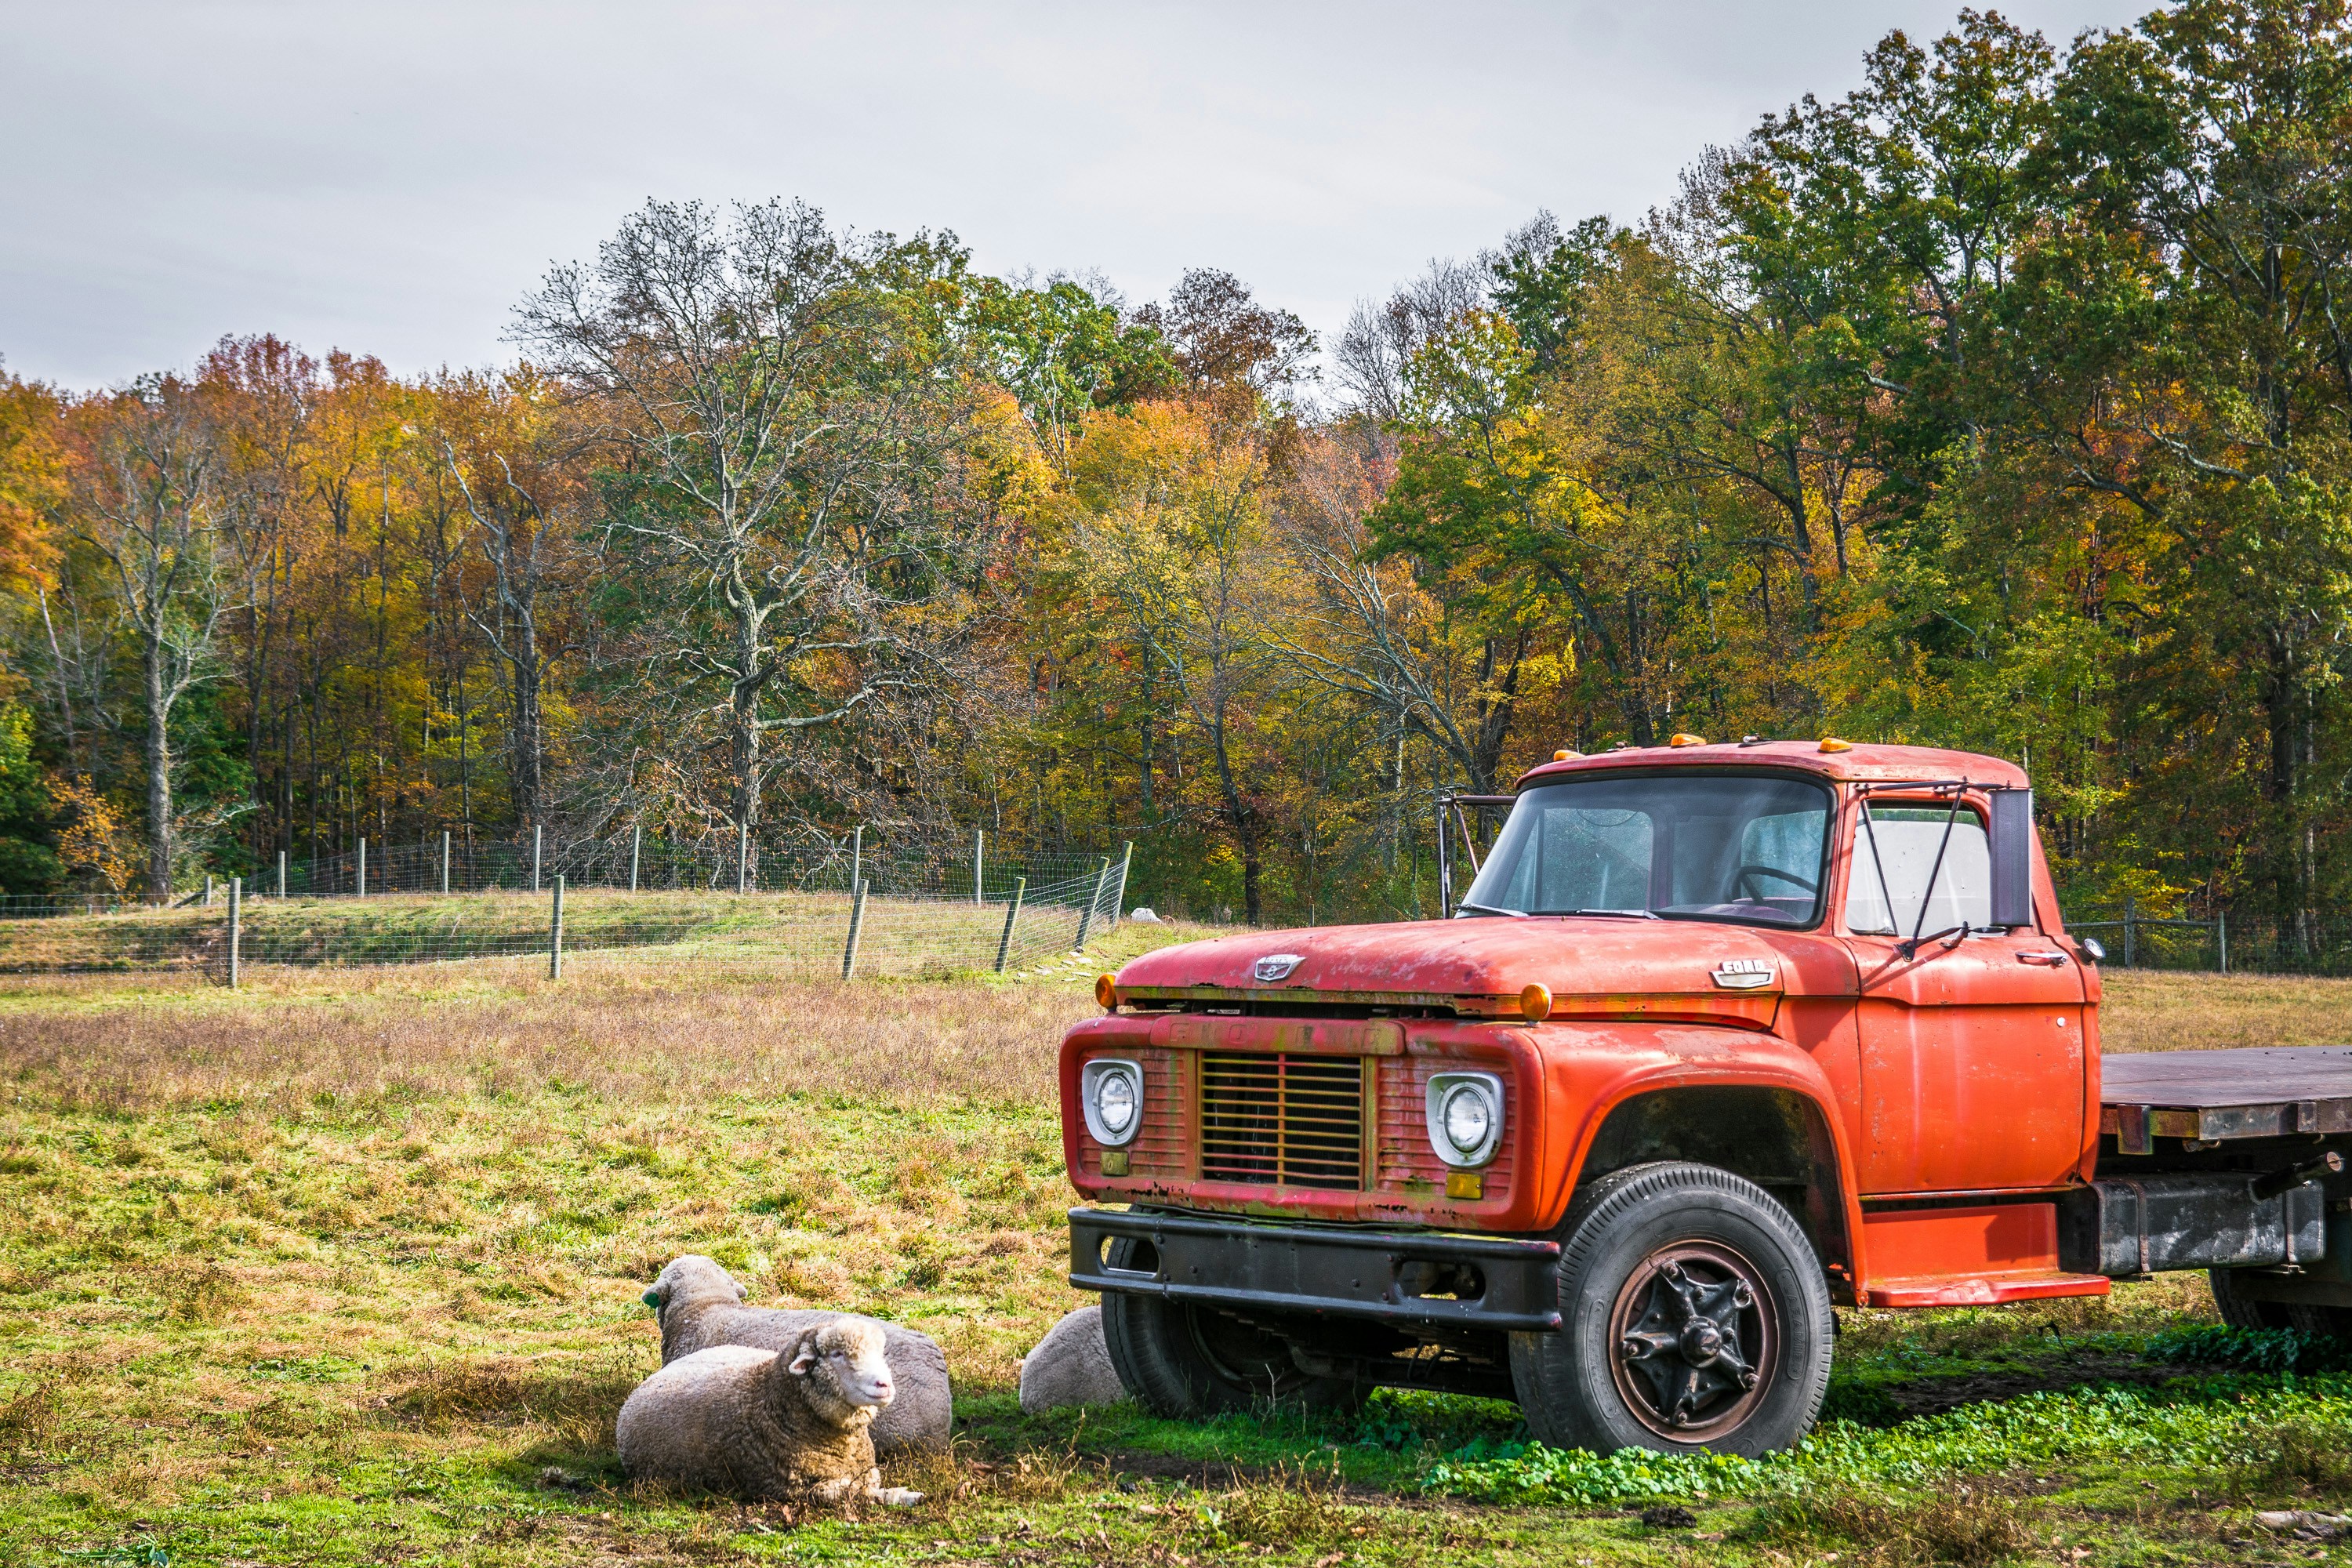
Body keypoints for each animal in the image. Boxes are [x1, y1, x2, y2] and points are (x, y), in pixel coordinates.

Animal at [616, 1315, 924, 1507]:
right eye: (837, 1354)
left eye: (880, 1352)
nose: (885, 1385)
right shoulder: (791, 1488)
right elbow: (846, 1492)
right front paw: (898, 1495)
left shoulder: (865, 1471)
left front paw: (906, 1496)